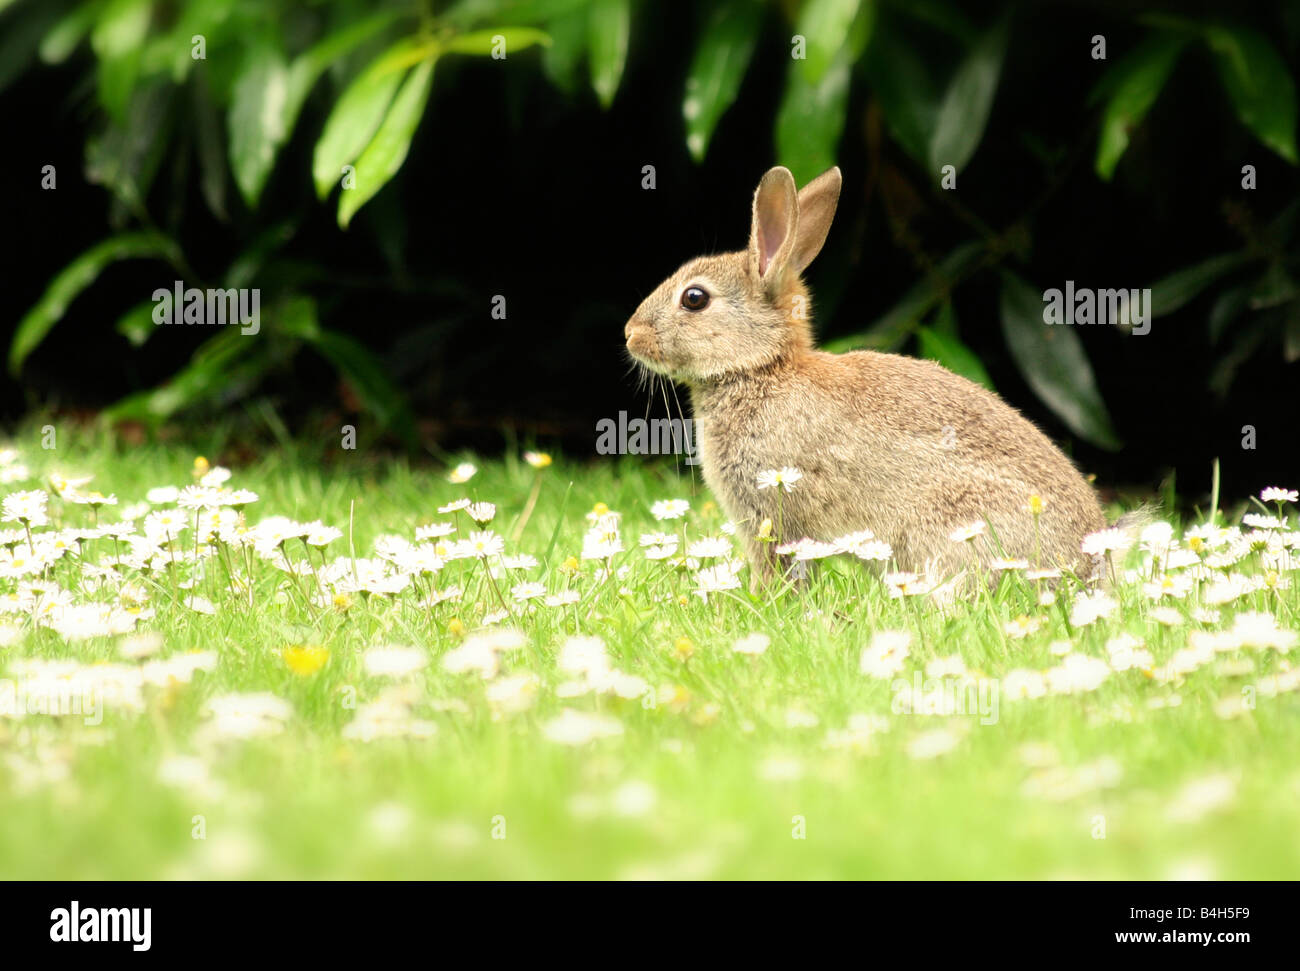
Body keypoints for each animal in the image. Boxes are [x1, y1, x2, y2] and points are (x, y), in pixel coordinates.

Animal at [624, 165, 1108, 590]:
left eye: (694, 299)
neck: (762, 369)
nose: (630, 333)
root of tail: (1088, 566)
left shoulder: (773, 511)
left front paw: (765, 599)